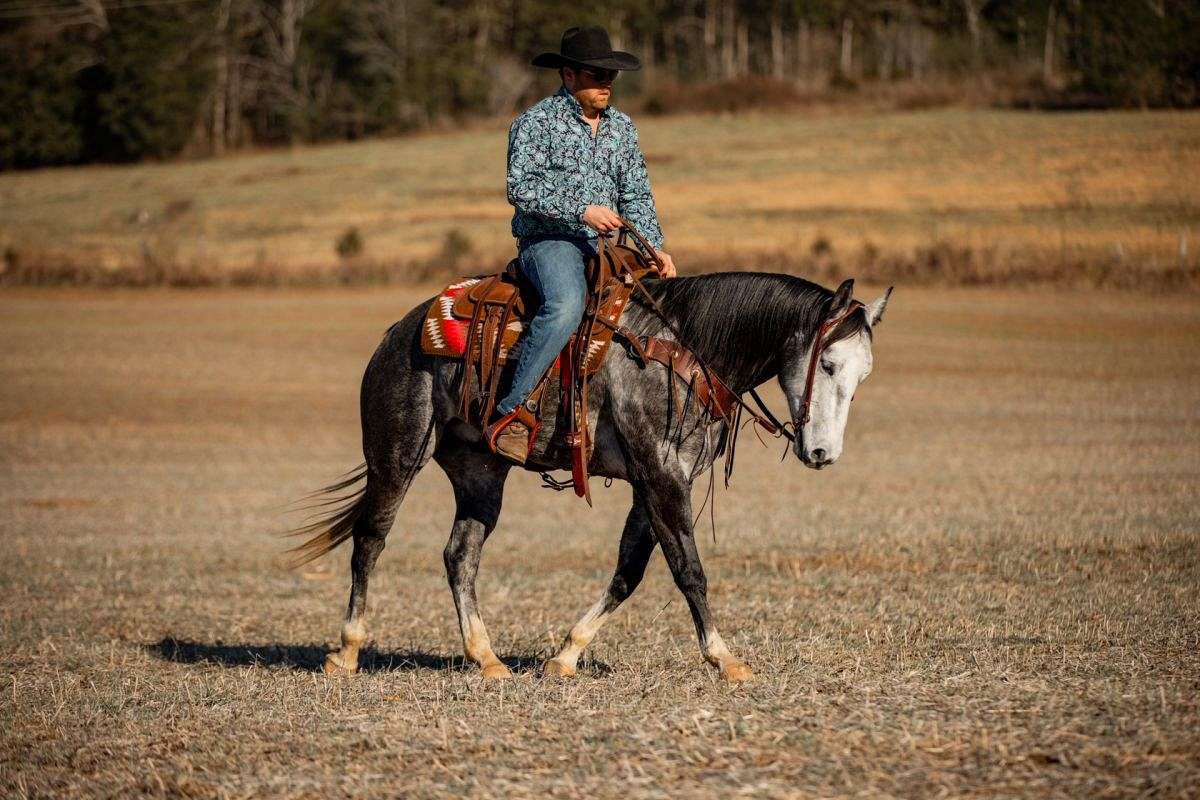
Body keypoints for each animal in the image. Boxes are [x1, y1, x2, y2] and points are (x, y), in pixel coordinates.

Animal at [289, 271, 892, 682]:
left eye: (864, 375)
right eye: (828, 365)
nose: (823, 453)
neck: (685, 355)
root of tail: (398, 332)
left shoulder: (653, 484)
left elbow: (630, 572)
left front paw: (565, 655)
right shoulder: (662, 476)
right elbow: (689, 571)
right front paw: (725, 659)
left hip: (480, 473)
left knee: (460, 556)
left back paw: (488, 660)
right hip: (396, 455)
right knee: (370, 540)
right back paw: (346, 651)